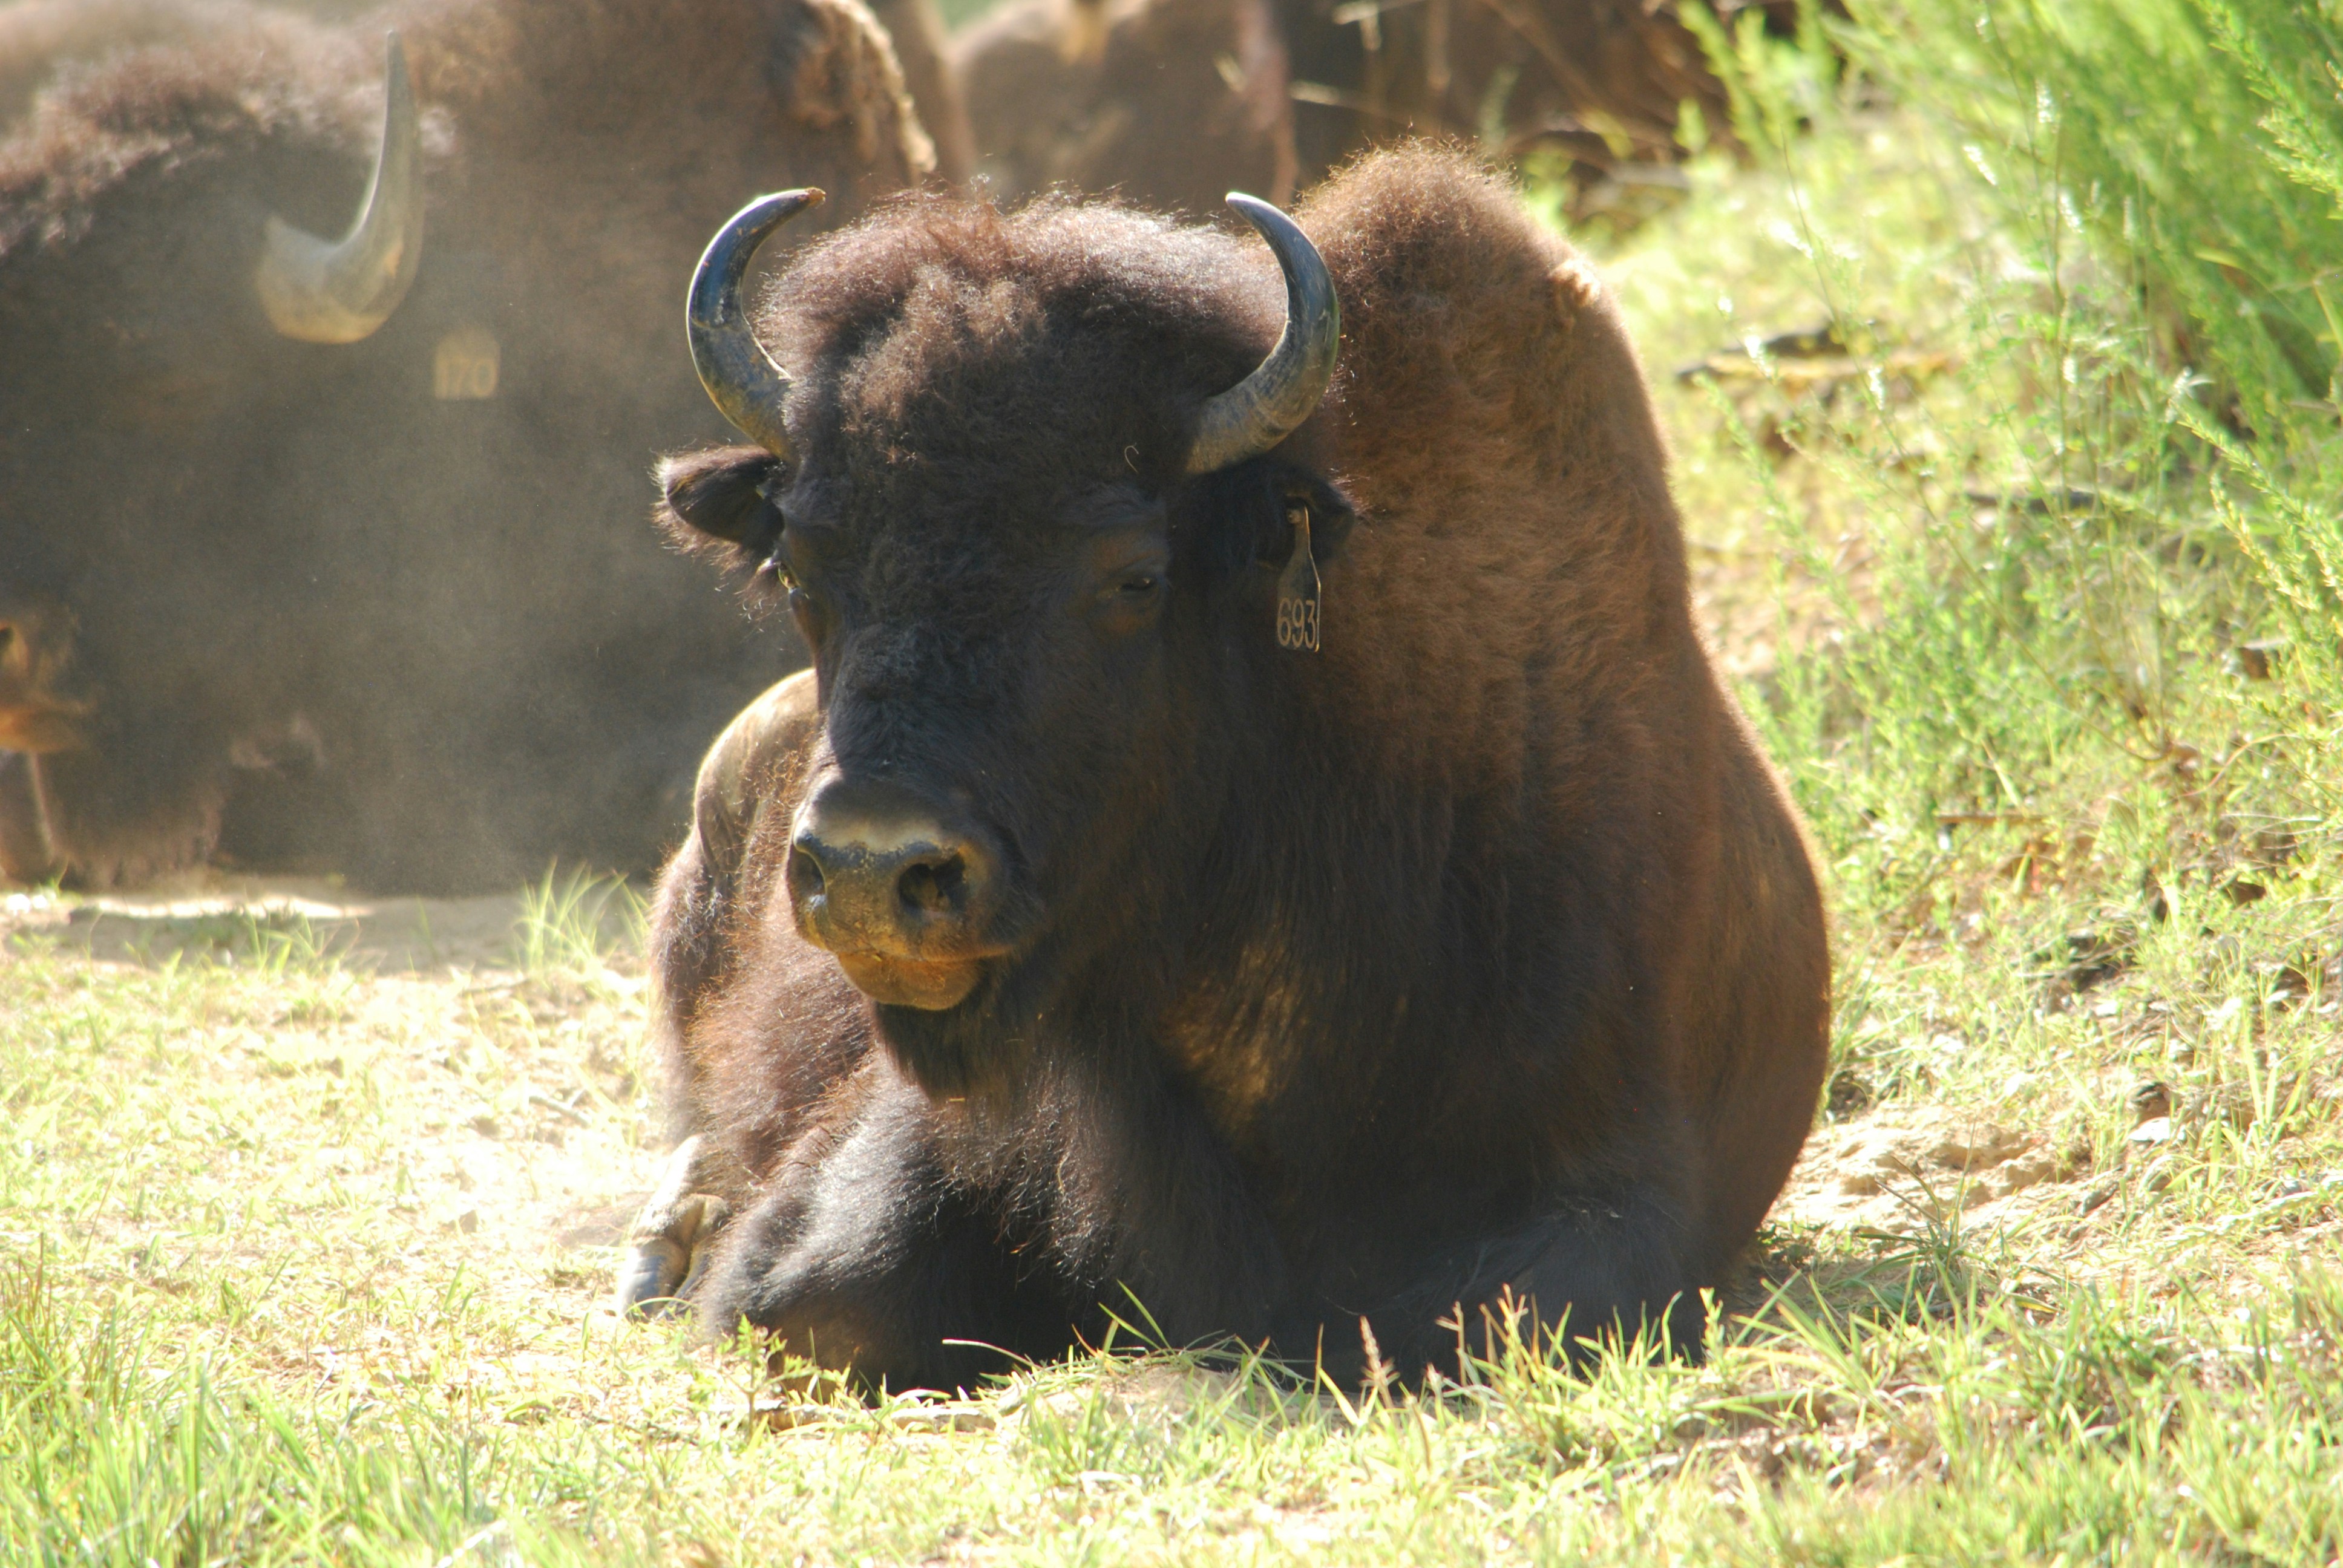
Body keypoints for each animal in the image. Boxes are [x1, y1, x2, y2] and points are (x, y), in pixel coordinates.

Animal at [623, 146, 1830, 1390]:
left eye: (1134, 574)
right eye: (798, 570)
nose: (872, 869)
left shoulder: (1618, 1164)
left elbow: (1508, 1309)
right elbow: (819, 1302)